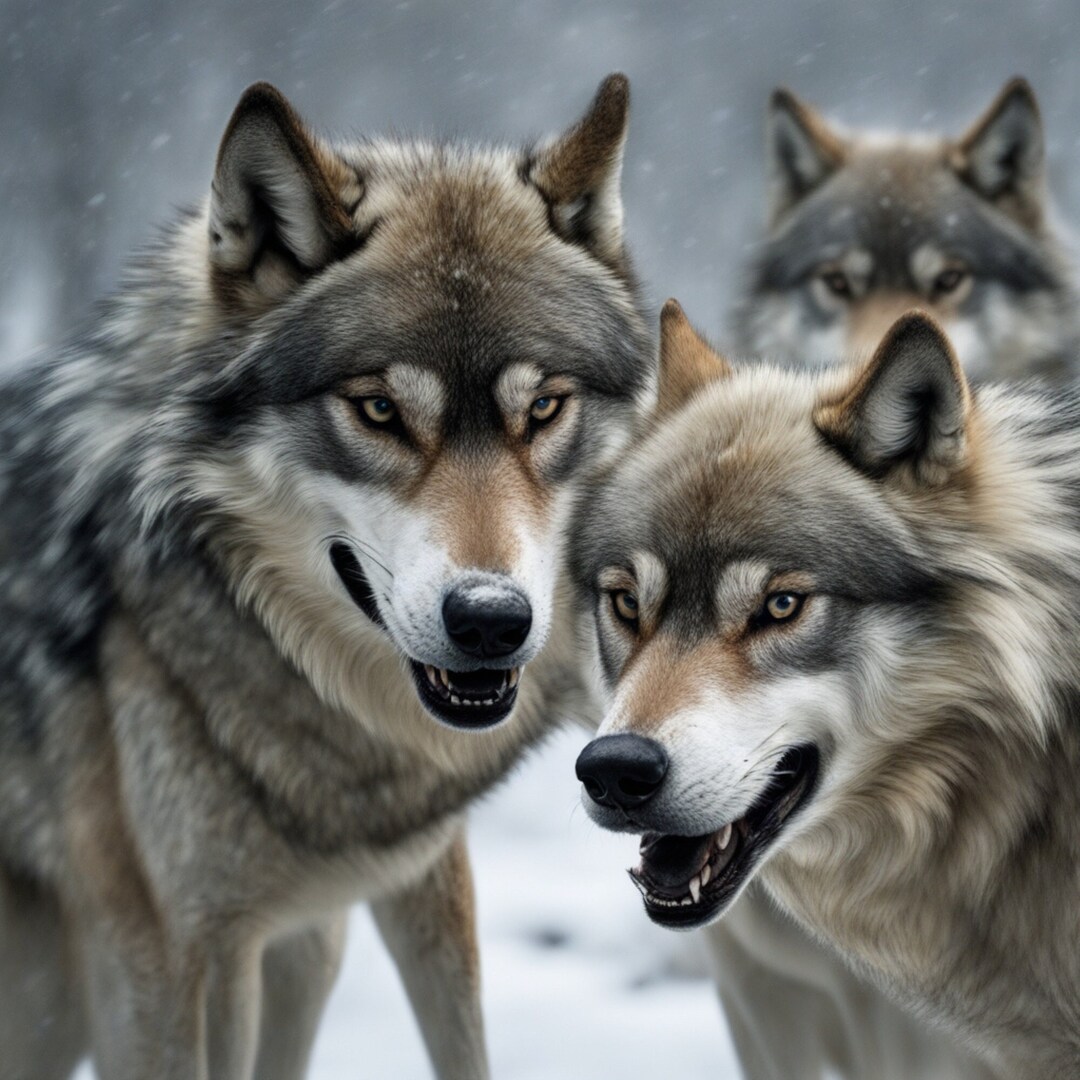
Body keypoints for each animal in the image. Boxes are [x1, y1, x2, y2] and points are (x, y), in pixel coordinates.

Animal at [0, 75, 652, 1080]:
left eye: (544, 407)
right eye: (378, 410)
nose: (491, 620)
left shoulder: (402, 880)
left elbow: (464, 1047)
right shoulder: (183, 953)